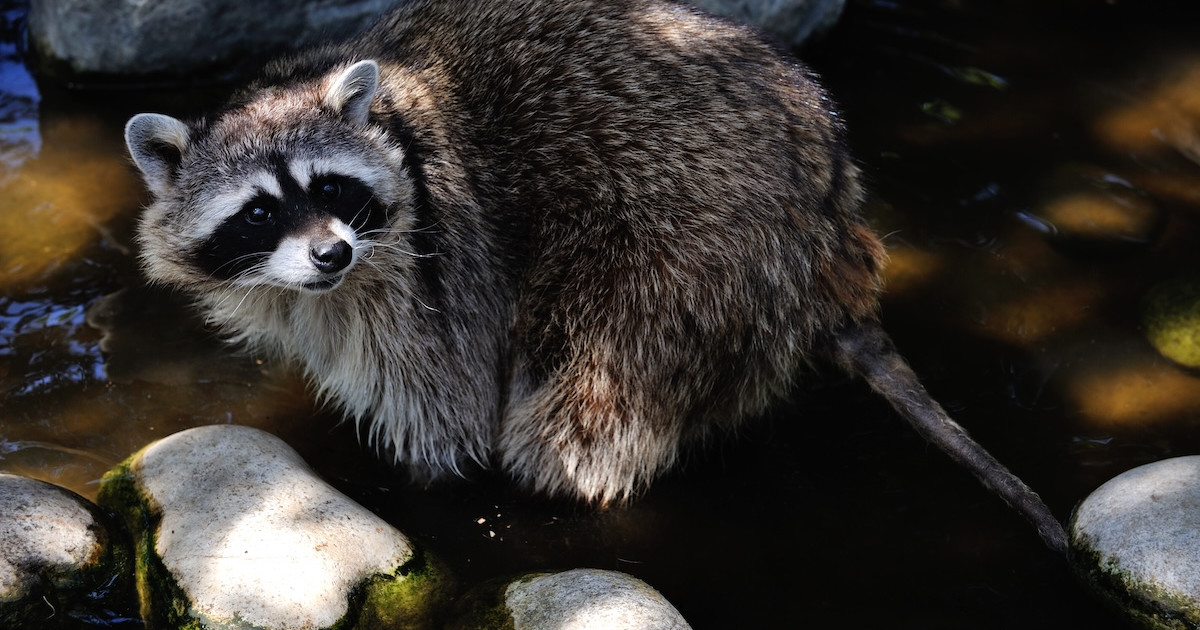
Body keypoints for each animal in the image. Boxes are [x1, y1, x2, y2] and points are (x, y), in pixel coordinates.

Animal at [124, 0, 1067, 553]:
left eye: (329, 189)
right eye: (258, 212)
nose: (331, 253)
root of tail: (828, 208)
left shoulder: (442, 269)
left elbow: (452, 415)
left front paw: (419, 484)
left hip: (693, 248)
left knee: (587, 402)